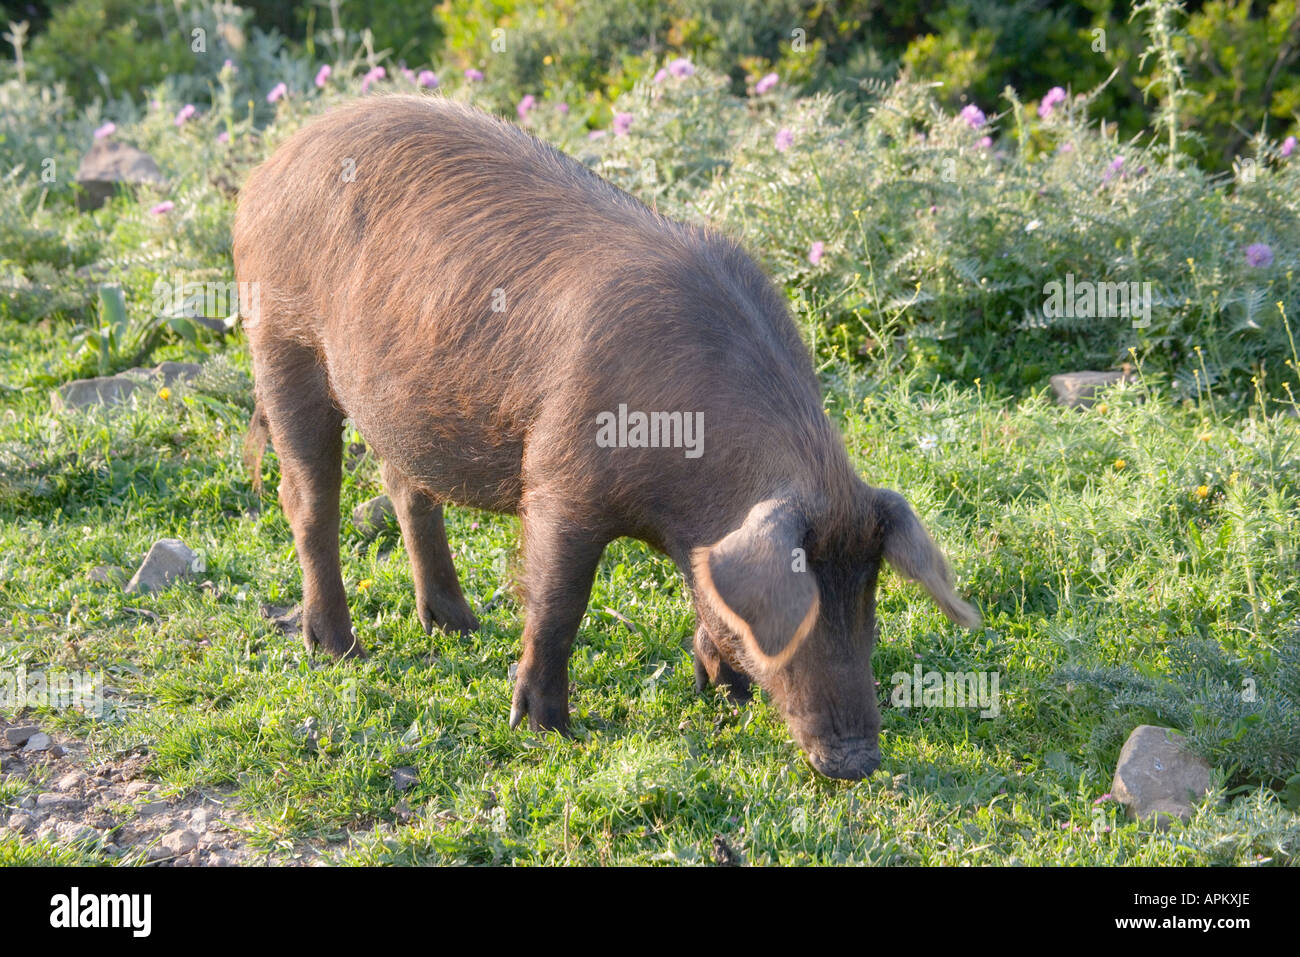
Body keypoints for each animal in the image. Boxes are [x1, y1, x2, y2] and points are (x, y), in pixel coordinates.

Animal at [233, 95, 979, 779]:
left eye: (868, 598)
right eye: (802, 607)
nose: (858, 760)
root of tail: (267, 169)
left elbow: (705, 584)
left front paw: (726, 696)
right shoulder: (560, 480)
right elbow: (560, 604)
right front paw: (546, 729)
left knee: (406, 487)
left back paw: (458, 625)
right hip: (281, 343)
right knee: (309, 502)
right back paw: (339, 650)